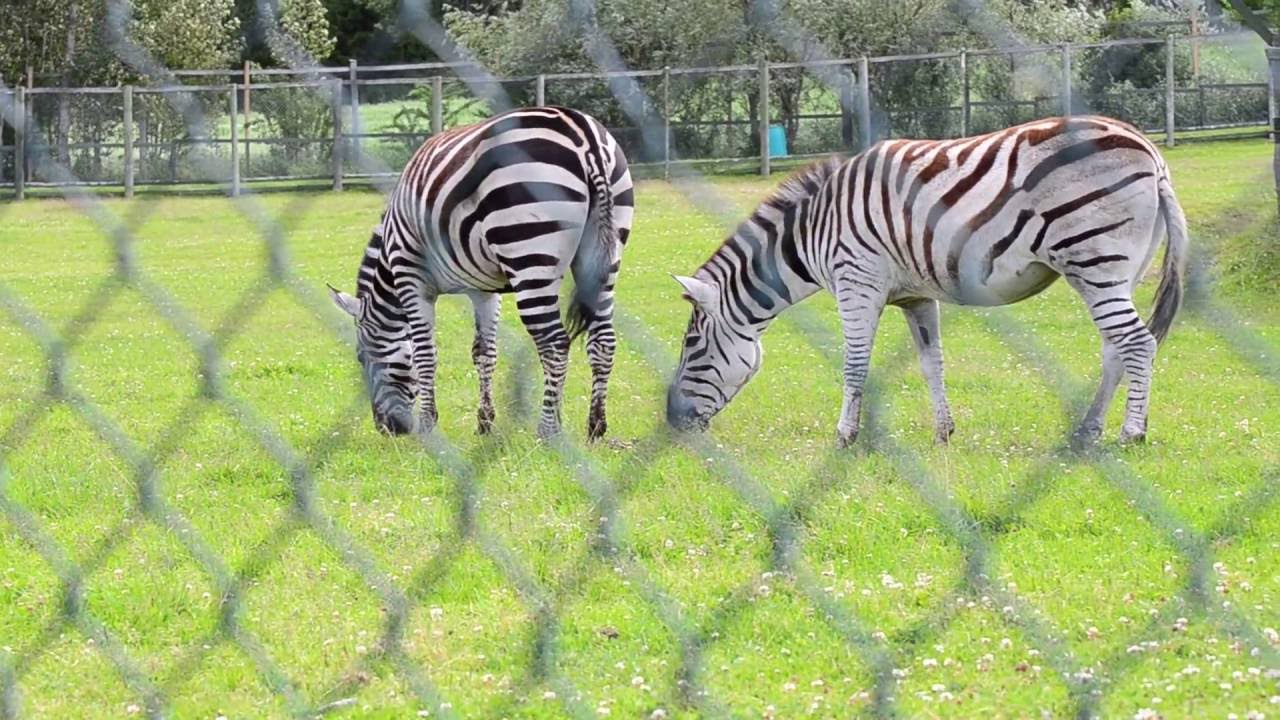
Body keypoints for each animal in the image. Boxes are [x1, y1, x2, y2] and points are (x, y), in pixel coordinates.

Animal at [328, 106, 634, 439]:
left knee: (554, 344)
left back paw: (547, 429)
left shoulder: (411, 278)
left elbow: (425, 353)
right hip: (606, 256)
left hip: (529, 255)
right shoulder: (484, 289)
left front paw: (428, 425)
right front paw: (485, 422)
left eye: (361, 356)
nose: (388, 429)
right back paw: (596, 426)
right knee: (603, 340)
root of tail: (583, 133)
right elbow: (484, 352)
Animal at [666, 116, 1188, 448]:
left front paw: (845, 435)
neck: (814, 227)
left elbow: (854, 364)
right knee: (1116, 347)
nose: (671, 421)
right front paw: (943, 432)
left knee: (1138, 343)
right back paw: (1088, 430)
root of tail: (1152, 153)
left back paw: (1131, 433)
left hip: (1094, 259)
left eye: (691, 344)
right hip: (1114, 269)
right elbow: (931, 363)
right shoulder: (915, 296)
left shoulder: (857, 282)